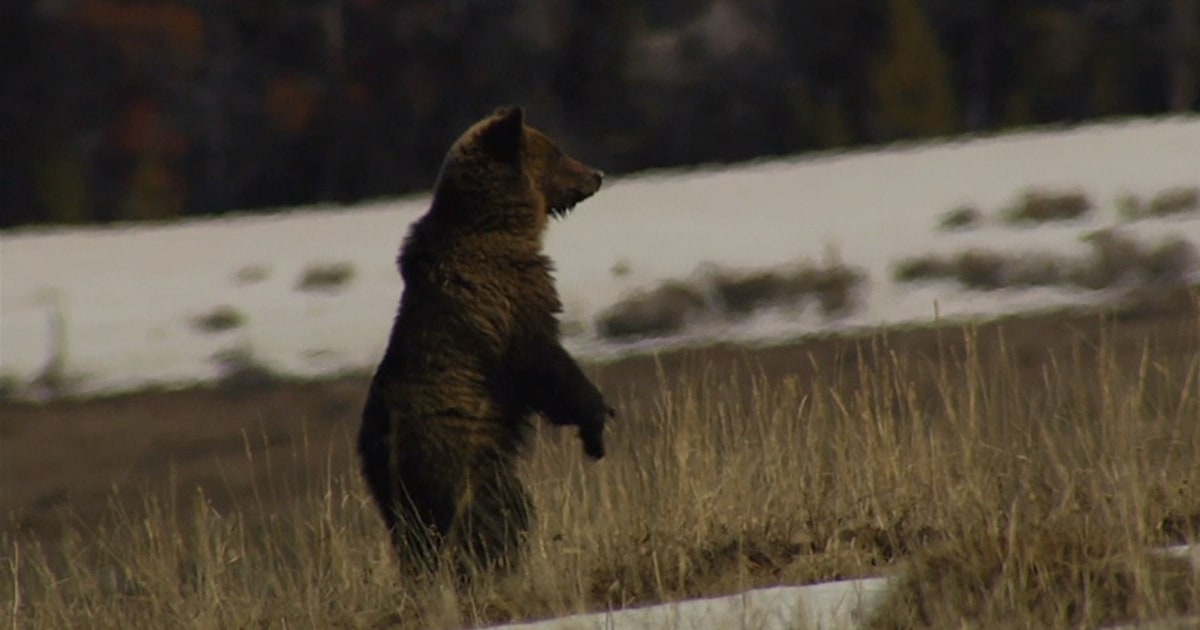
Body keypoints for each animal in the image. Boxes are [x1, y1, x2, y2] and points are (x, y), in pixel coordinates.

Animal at [358, 106, 613, 577]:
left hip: (398, 496)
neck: (498, 227)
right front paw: (596, 421)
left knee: (418, 542)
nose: (597, 174)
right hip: (459, 456)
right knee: (496, 513)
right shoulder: (511, 301)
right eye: (557, 151)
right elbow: (546, 364)